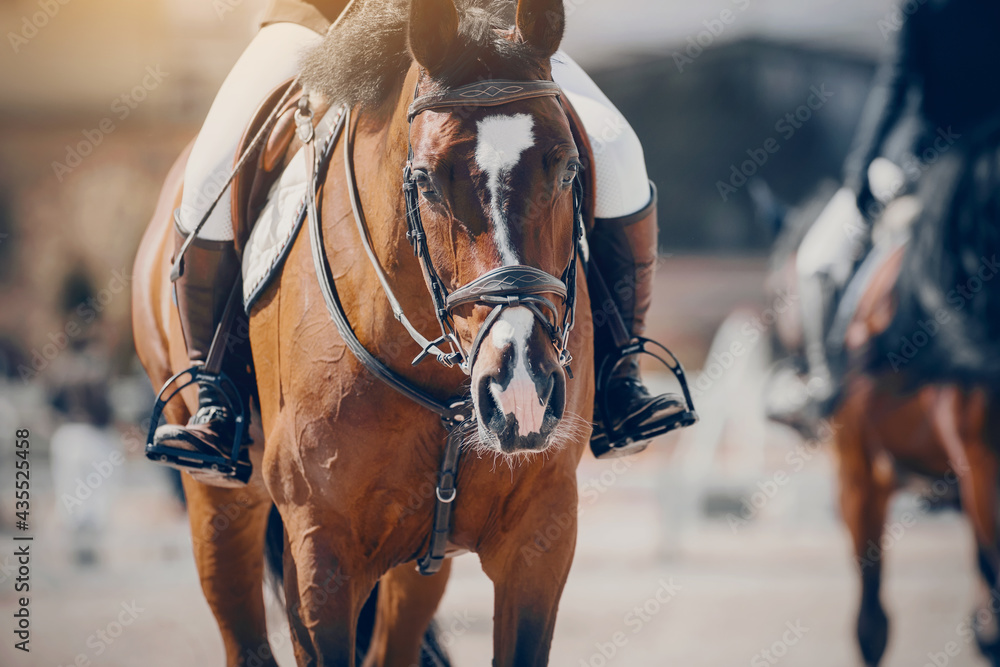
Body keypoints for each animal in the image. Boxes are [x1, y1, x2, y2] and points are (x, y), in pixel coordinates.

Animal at [132, 0, 598, 664]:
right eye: (425, 180)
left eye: (567, 169)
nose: (521, 389)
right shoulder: (319, 551)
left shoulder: (540, 537)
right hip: (219, 504)